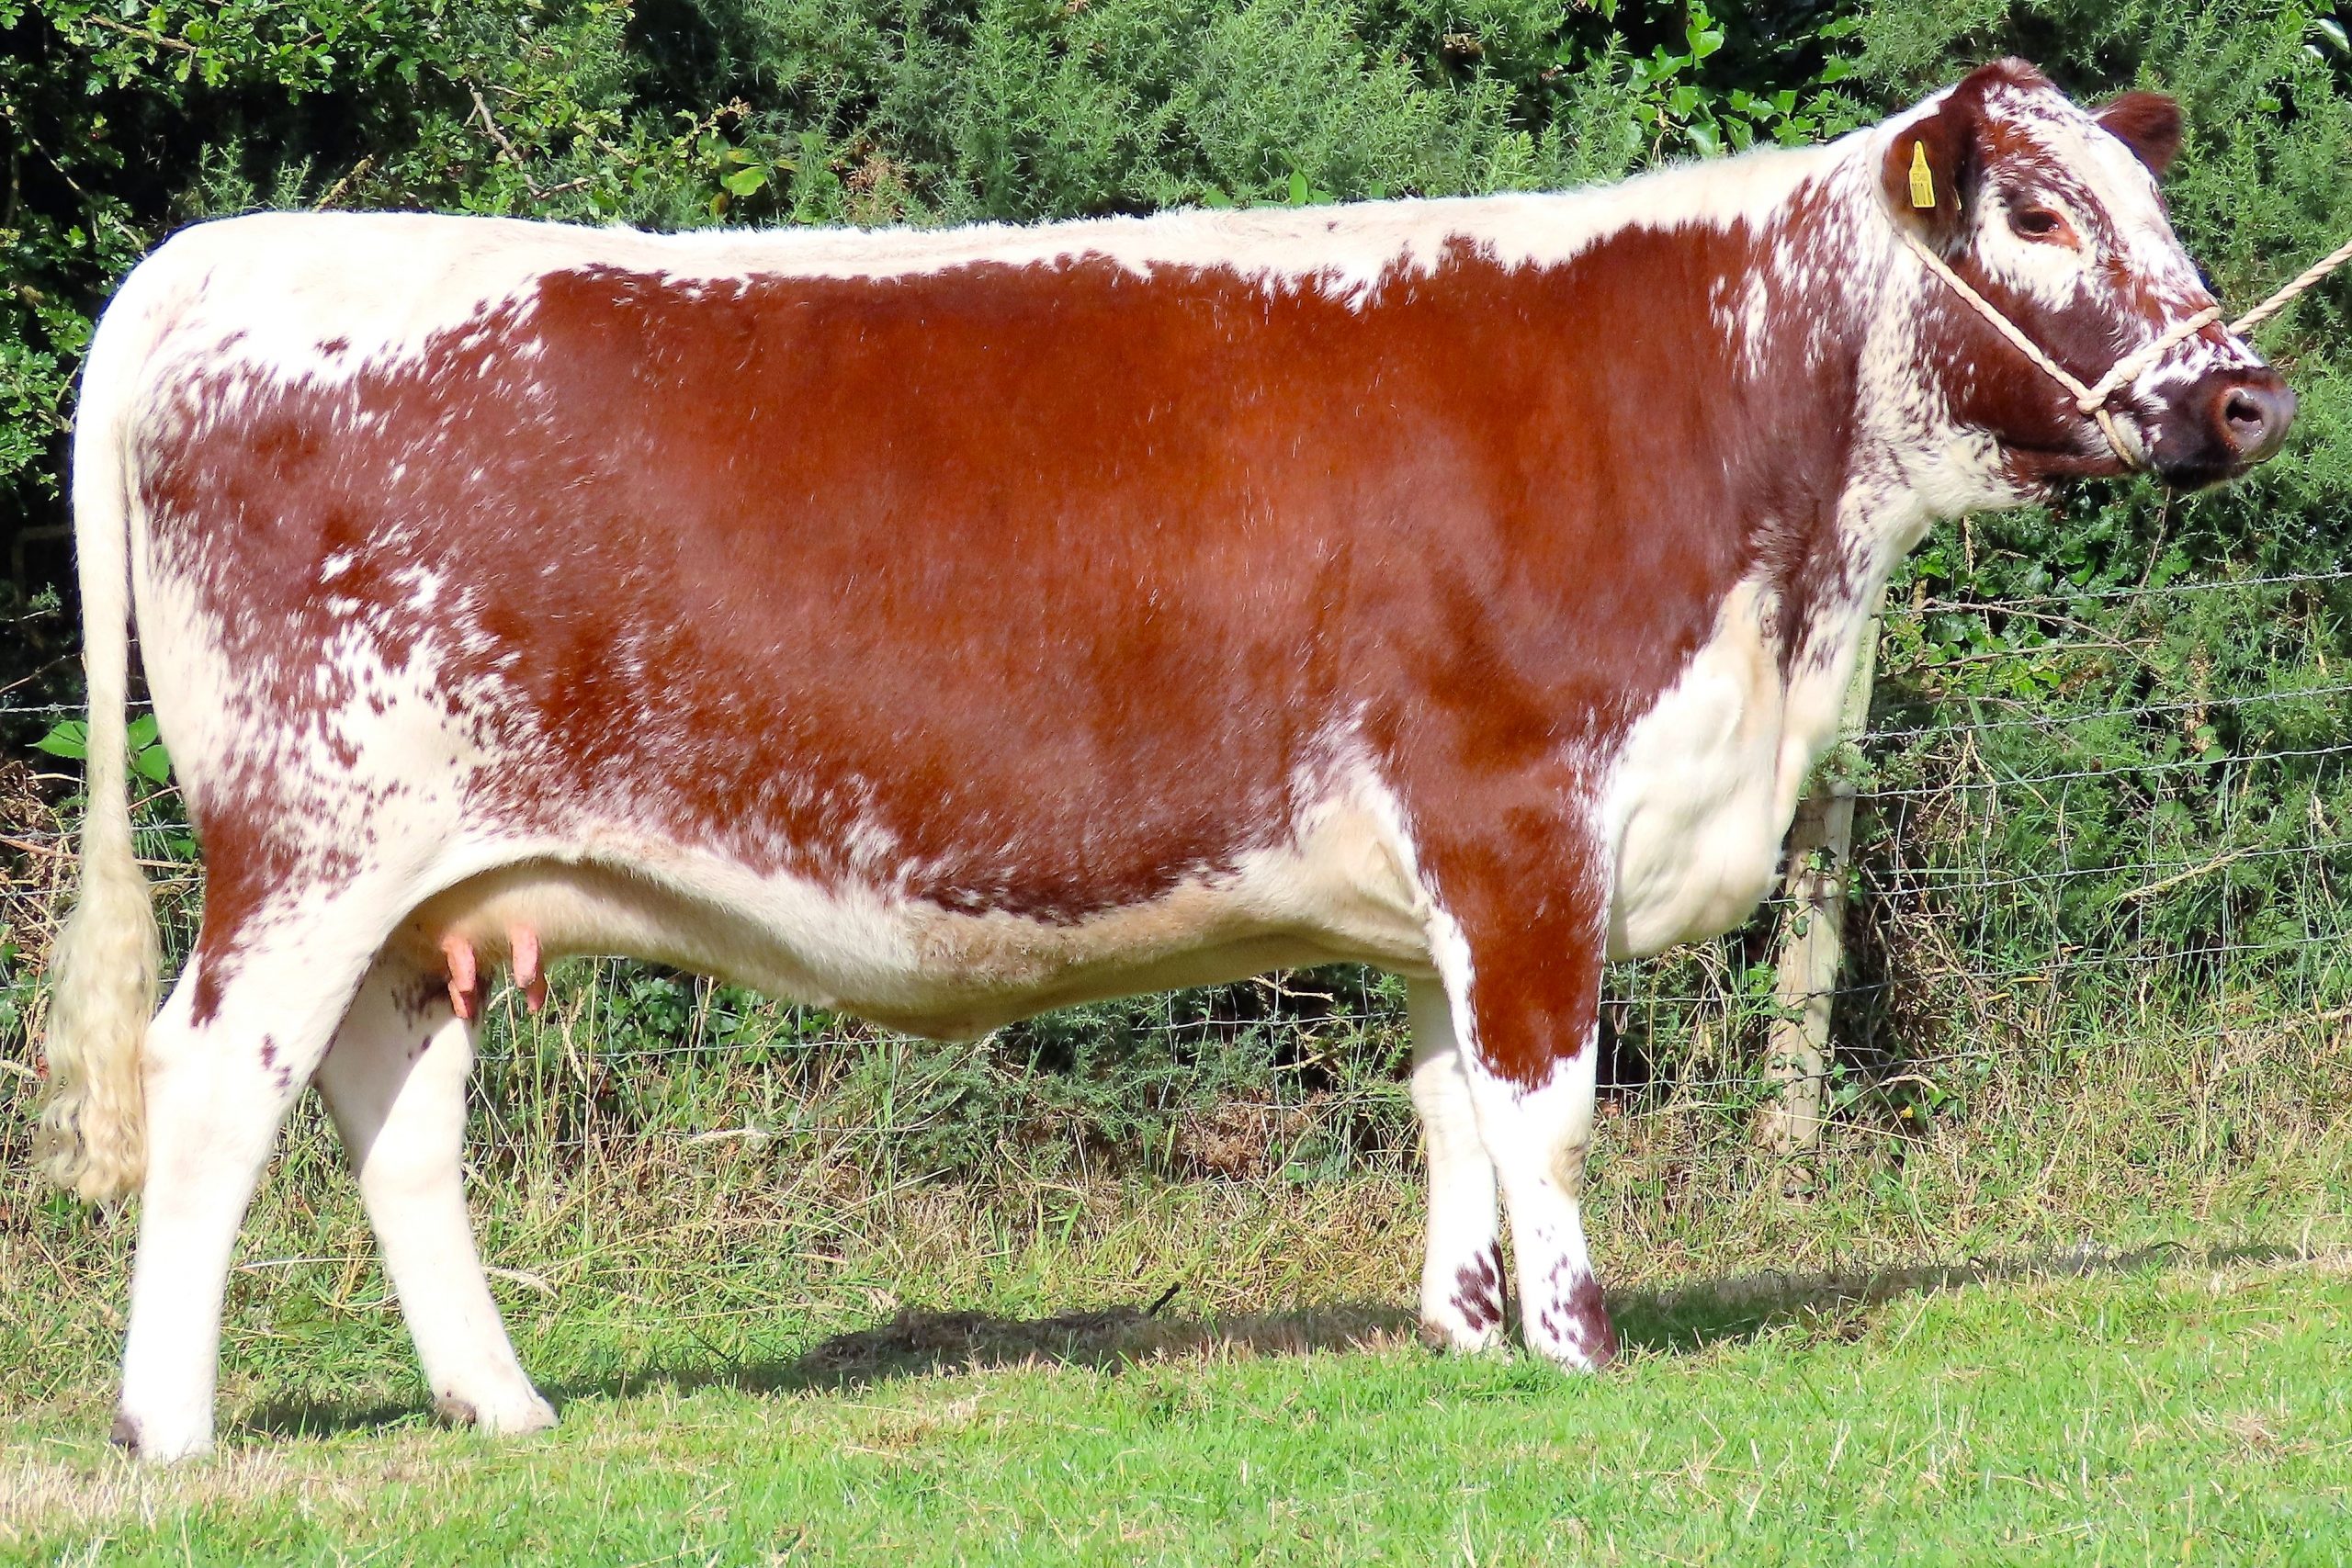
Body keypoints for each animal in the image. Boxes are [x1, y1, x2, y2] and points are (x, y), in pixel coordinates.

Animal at [35, 59, 2293, 1460]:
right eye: (2033, 206)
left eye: (2154, 198)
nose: (2248, 393)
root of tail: (239, 249)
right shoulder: (1517, 810)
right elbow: (1545, 1103)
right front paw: (1577, 1346)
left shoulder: (1434, 863)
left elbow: (1444, 1099)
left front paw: (1462, 1333)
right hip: (314, 835)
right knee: (215, 1085)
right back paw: (169, 1427)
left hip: (424, 883)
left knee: (393, 1111)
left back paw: (499, 1407)